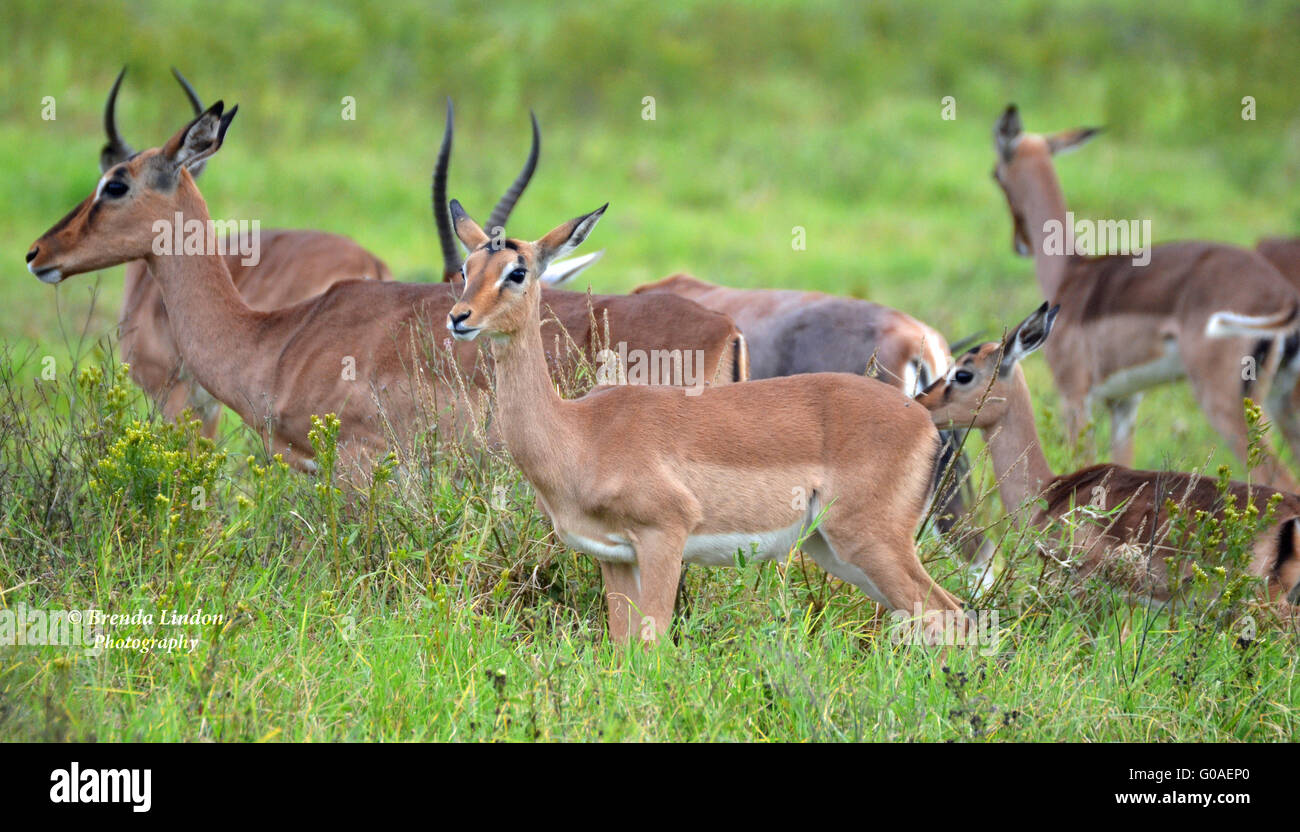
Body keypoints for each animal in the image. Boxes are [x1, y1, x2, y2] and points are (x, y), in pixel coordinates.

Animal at [444, 198, 967, 644]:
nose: (459, 317)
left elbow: (653, 646)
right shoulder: (615, 557)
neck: (581, 432)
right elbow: (622, 646)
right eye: (467, 269)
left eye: (517, 272)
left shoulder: (664, 537)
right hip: (833, 549)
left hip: (871, 541)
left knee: (950, 614)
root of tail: (922, 416)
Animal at [992, 105, 1300, 490]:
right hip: (1282, 402)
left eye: (995, 175)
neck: (1071, 274)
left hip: (1228, 404)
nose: (1019, 243)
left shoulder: (1074, 397)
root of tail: (1283, 297)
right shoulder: (1124, 403)